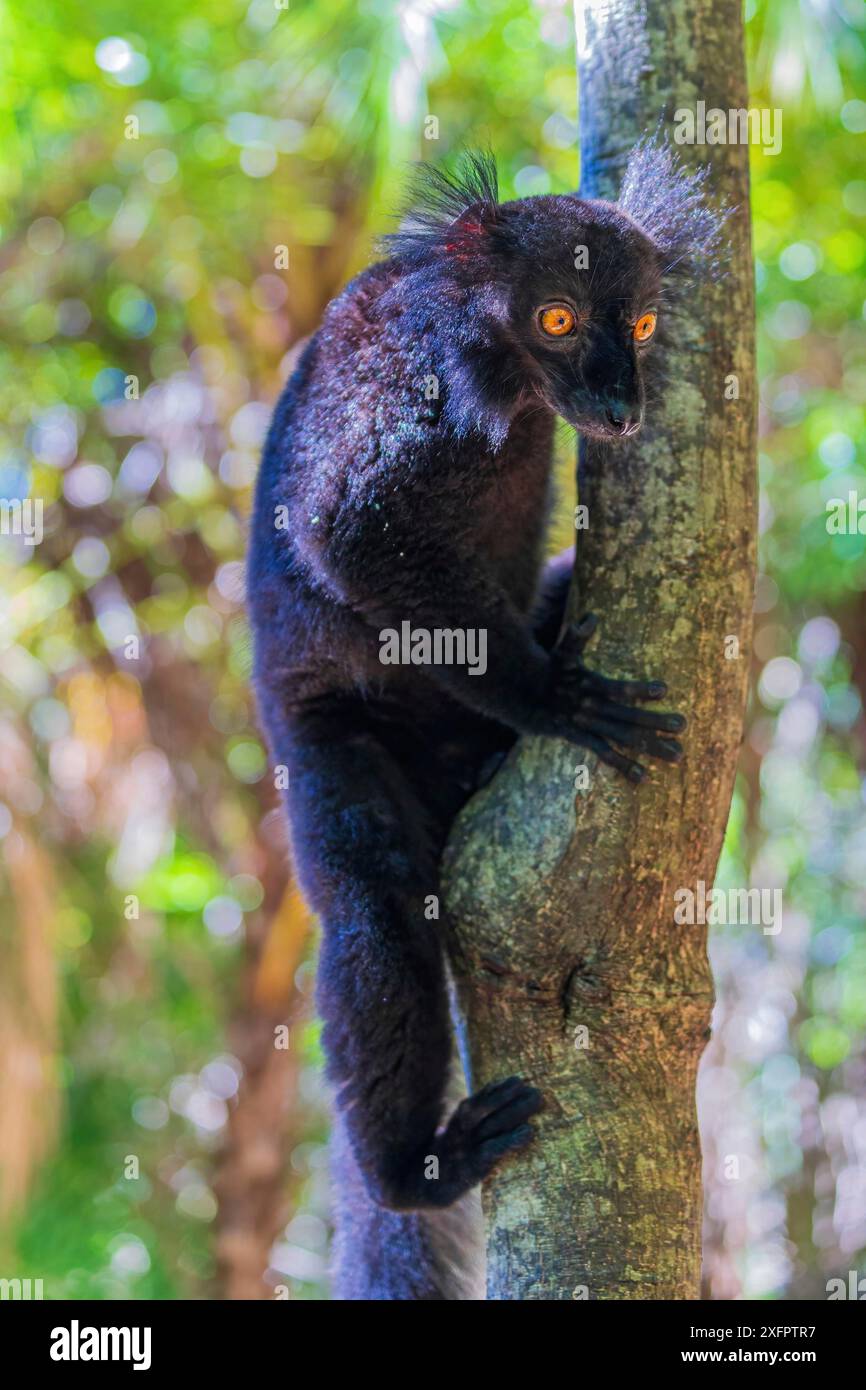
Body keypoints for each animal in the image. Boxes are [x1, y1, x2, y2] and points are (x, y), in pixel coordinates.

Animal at [247, 140, 722, 1299]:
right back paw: (416, 1167)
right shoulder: (403, 384)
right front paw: (548, 696)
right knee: (376, 906)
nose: (621, 408)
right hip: (324, 739)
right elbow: (351, 528)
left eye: (644, 323)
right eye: (556, 318)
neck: (501, 374)